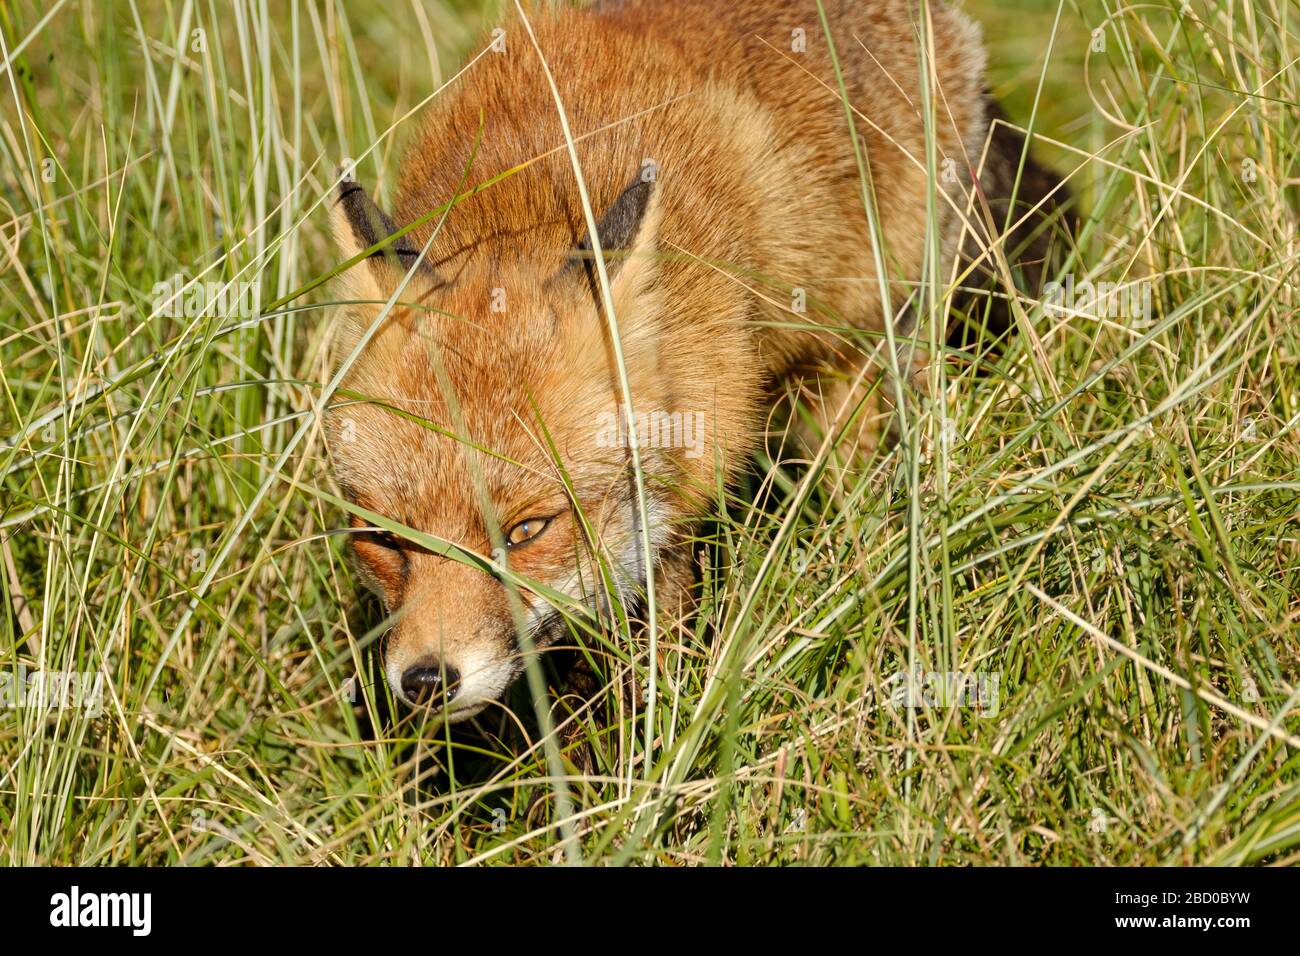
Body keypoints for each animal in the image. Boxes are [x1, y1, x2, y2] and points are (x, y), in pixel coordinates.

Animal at [327, 0, 1071, 721]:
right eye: (384, 539)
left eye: (527, 531)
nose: (427, 680)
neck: (524, 199)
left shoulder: (676, 510)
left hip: (858, 358)